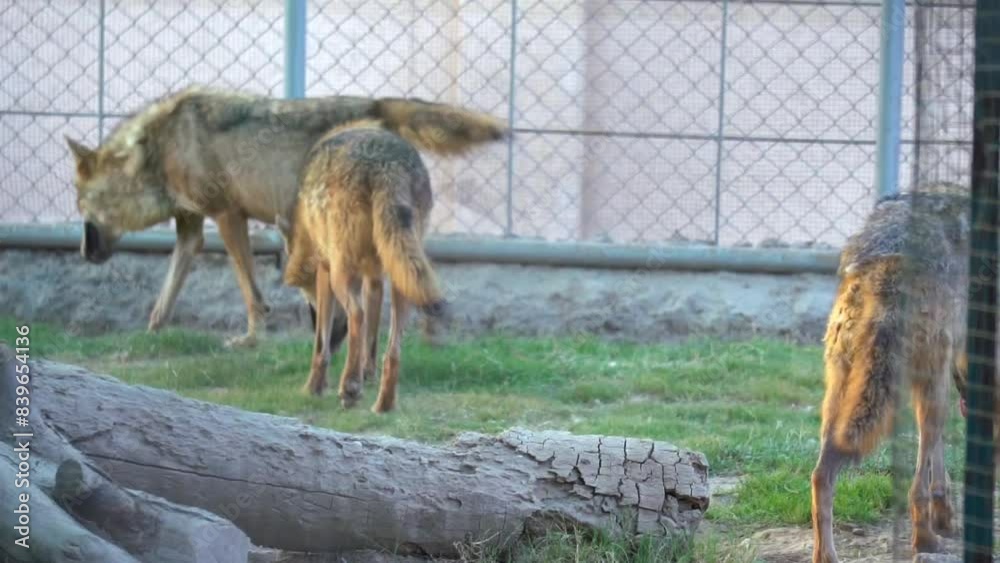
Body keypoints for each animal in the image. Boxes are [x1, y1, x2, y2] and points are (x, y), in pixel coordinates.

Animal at [65, 86, 504, 347]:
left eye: (80, 204)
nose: (83, 253)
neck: (157, 149)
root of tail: (377, 103)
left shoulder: (227, 215)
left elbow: (250, 291)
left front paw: (251, 340)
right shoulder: (192, 230)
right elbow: (165, 296)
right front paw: (149, 336)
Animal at [276, 121, 453, 413]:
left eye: (306, 295)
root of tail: (387, 164)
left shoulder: (325, 270)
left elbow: (321, 346)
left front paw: (314, 387)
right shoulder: (374, 278)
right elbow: (371, 337)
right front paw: (366, 374)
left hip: (341, 274)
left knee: (356, 315)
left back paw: (349, 388)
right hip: (402, 275)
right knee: (393, 350)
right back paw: (384, 404)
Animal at [811, 182, 971, 562]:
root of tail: (886, 262)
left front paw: (947, 514)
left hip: (842, 395)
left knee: (821, 476)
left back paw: (827, 555)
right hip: (929, 392)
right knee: (916, 487)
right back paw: (925, 540)